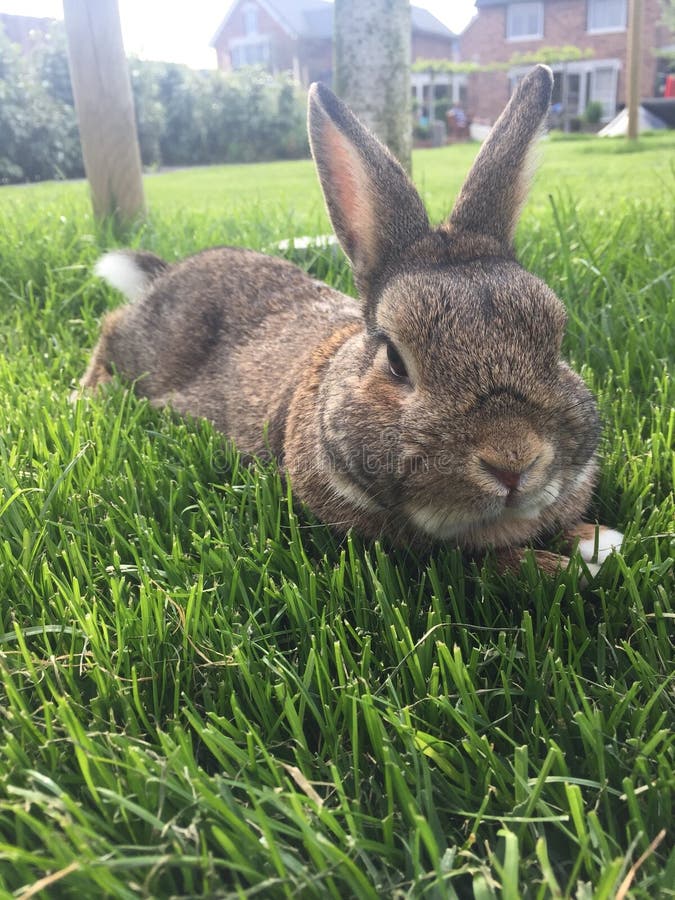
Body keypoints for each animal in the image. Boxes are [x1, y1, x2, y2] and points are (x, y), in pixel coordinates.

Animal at [76, 64, 623, 575]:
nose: (513, 461)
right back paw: (84, 396)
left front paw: (598, 541)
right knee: (109, 328)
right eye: (396, 361)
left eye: (555, 344)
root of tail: (164, 277)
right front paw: (569, 565)